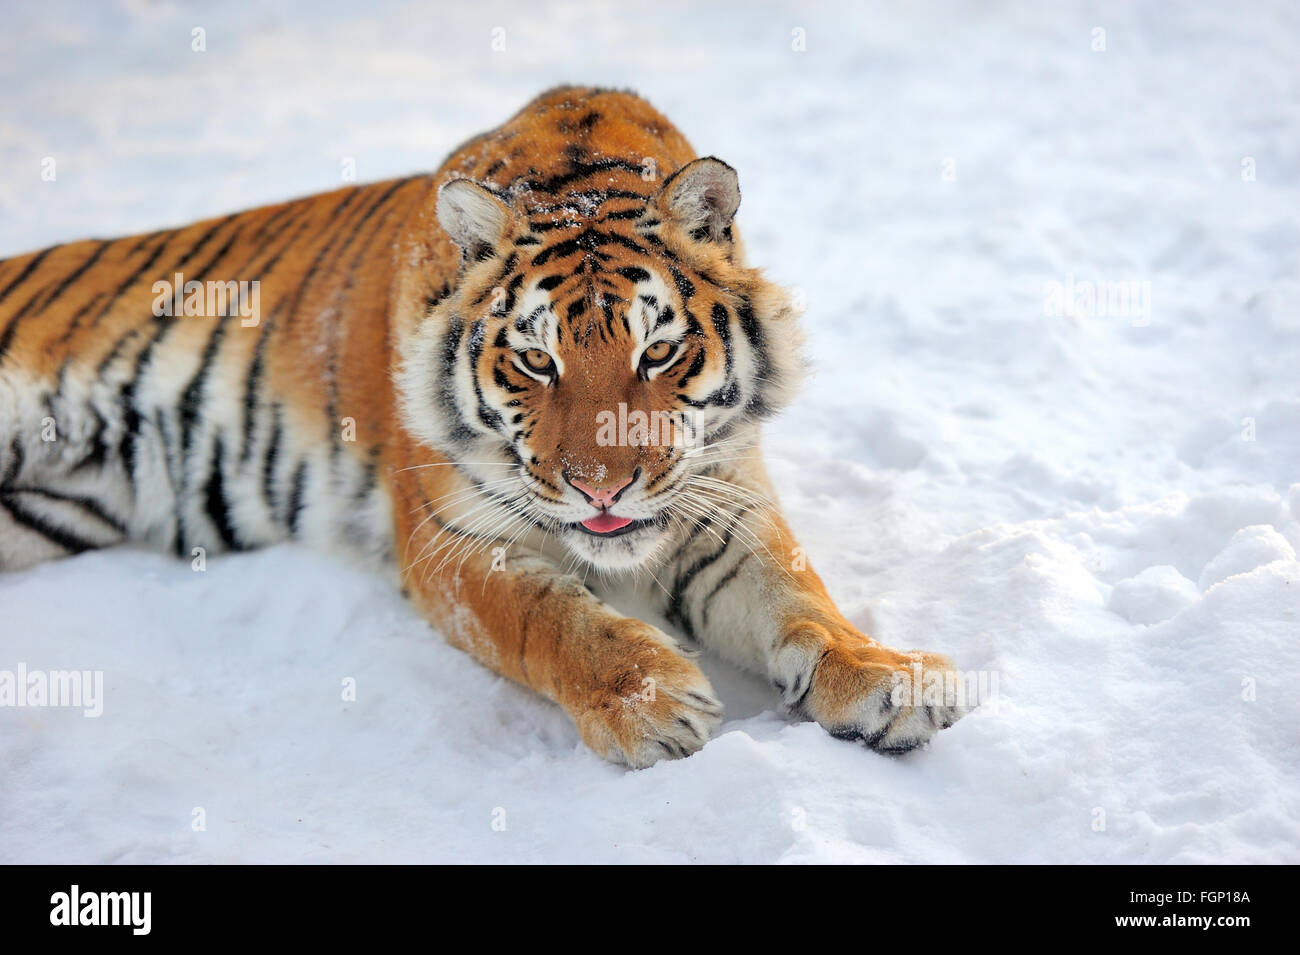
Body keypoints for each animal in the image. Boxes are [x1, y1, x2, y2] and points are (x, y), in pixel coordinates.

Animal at [0, 86, 967, 767]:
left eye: (658, 352)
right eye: (536, 361)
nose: (602, 489)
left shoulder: (723, 501)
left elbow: (802, 600)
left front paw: (886, 678)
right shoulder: (451, 540)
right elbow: (550, 619)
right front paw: (650, 703)